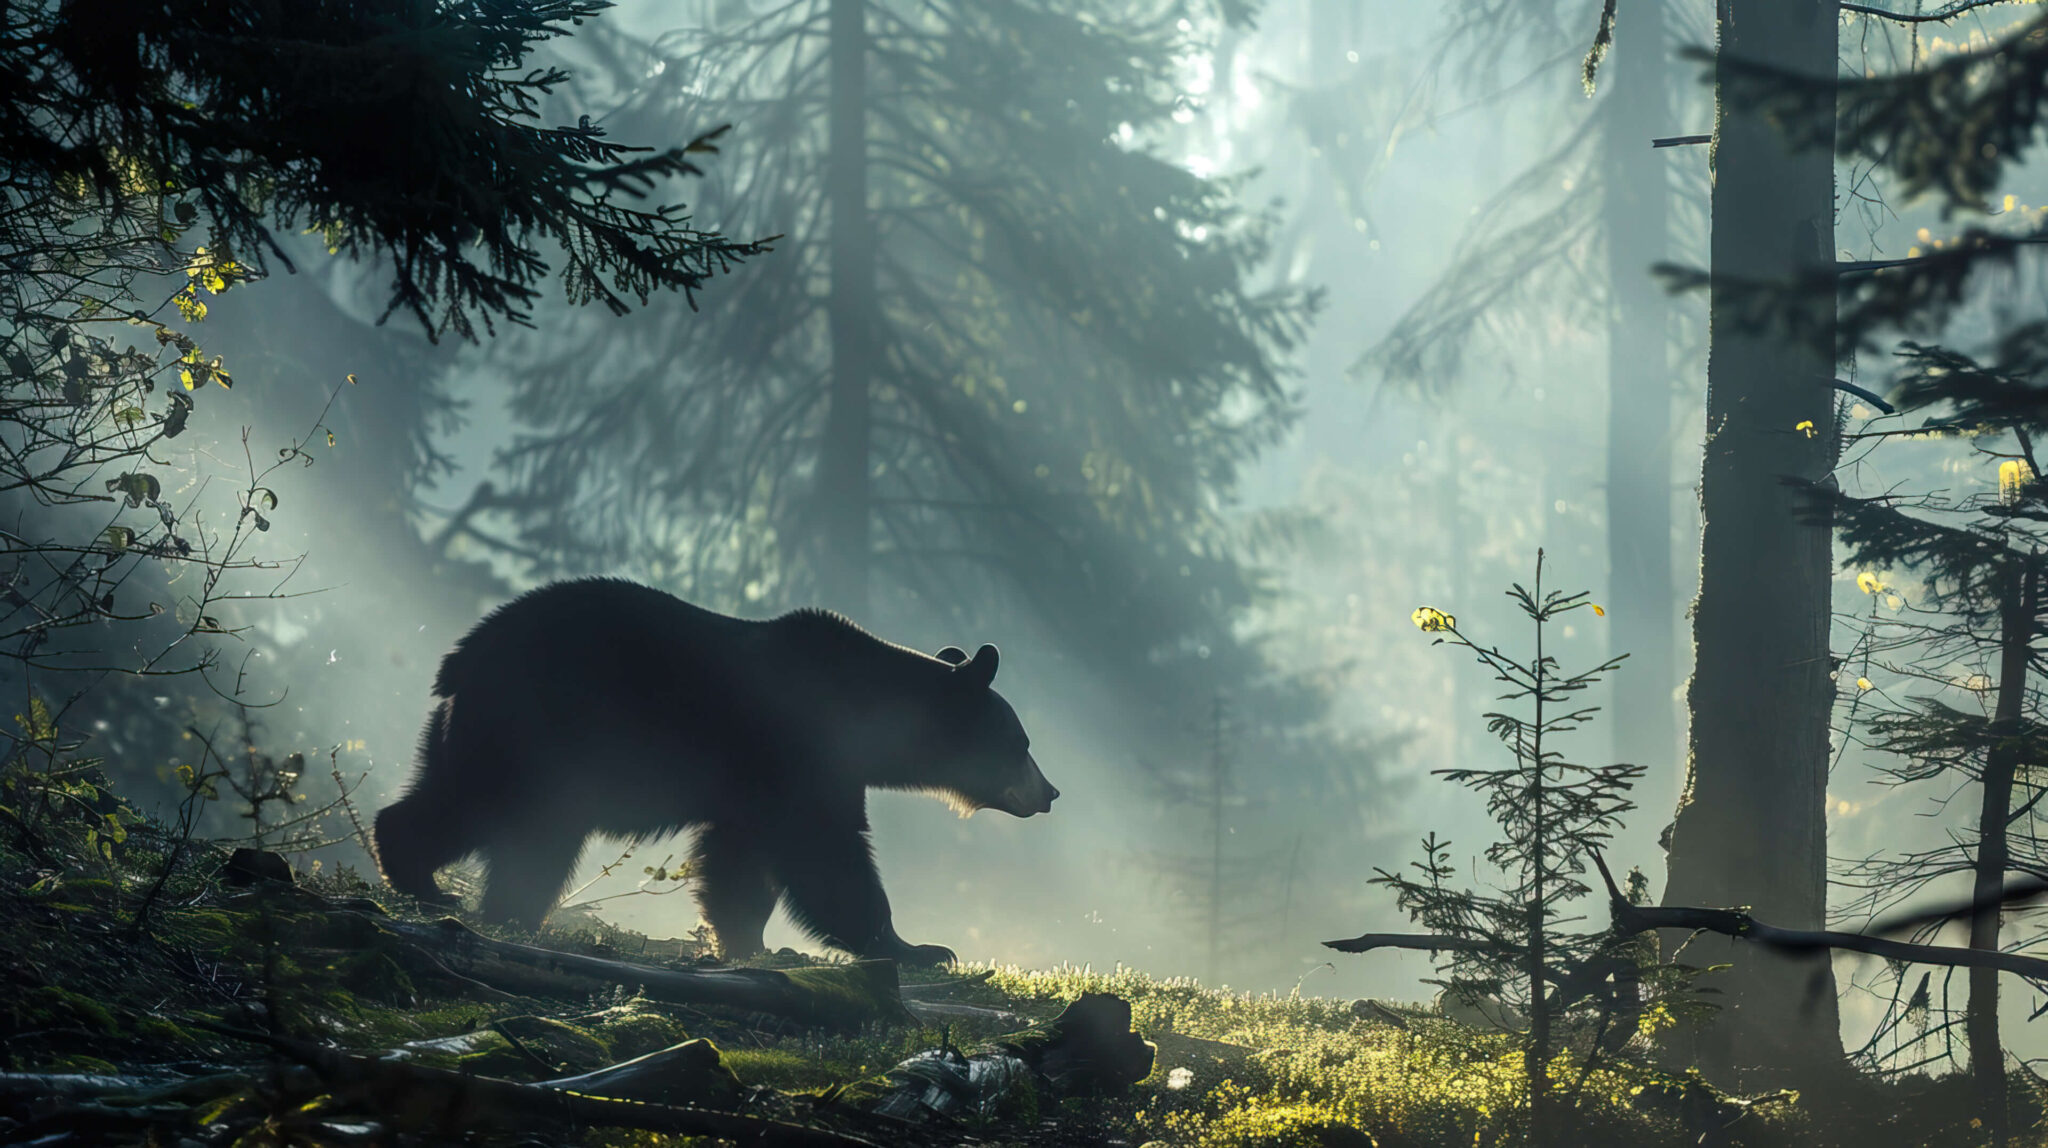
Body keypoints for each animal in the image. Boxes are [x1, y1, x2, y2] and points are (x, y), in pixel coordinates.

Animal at [373, 578, 1057, 967]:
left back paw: (444, 885)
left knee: (457, 799)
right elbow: (827, 855)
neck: (863, 714)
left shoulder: (758, 787)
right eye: (1021, 741)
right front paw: (918, 948)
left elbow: (739, 859)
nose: (1050, 791)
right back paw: (466, 896)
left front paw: (747, 940)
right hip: (543, 730)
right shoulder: (801, 755)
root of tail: (463, 655)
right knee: (501, 814)